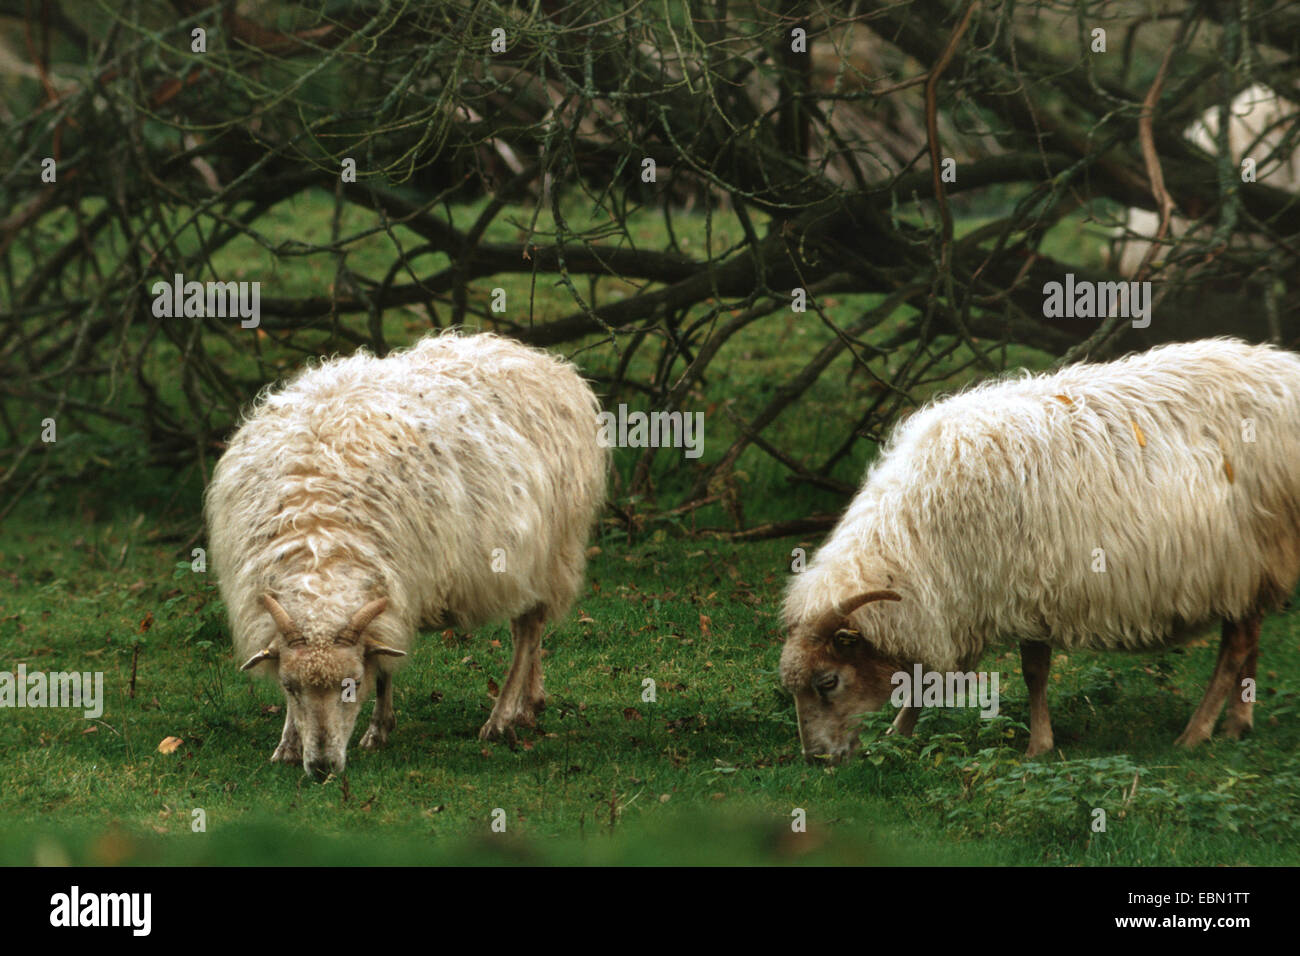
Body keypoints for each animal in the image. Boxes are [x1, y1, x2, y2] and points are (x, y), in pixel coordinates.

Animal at [205, 331, 607, 777]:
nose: (323, 766)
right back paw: (529, 706)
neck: (319, 542)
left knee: (529, 632)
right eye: (290, 687)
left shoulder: (400, 587)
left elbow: (383, 666)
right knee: (527, 630)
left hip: (550, 552)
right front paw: (290, 743)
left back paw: (501, 717)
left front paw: (379, 728)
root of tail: (542, 360)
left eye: (351, 685)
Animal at [781, 338, 1300, 762]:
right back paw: (1237, 724)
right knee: (1249, 636)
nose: (816, 760)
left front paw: (1038, 746)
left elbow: (1032, 672)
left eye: (828, 682)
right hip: (1254, 561)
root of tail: (1286, 370)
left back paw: (1197, 732)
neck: (916, 532)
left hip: (1248, 554)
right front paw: (898, 734)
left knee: (1235, 647)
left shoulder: (1023, 587)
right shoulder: (958, 601)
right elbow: (927, 679)